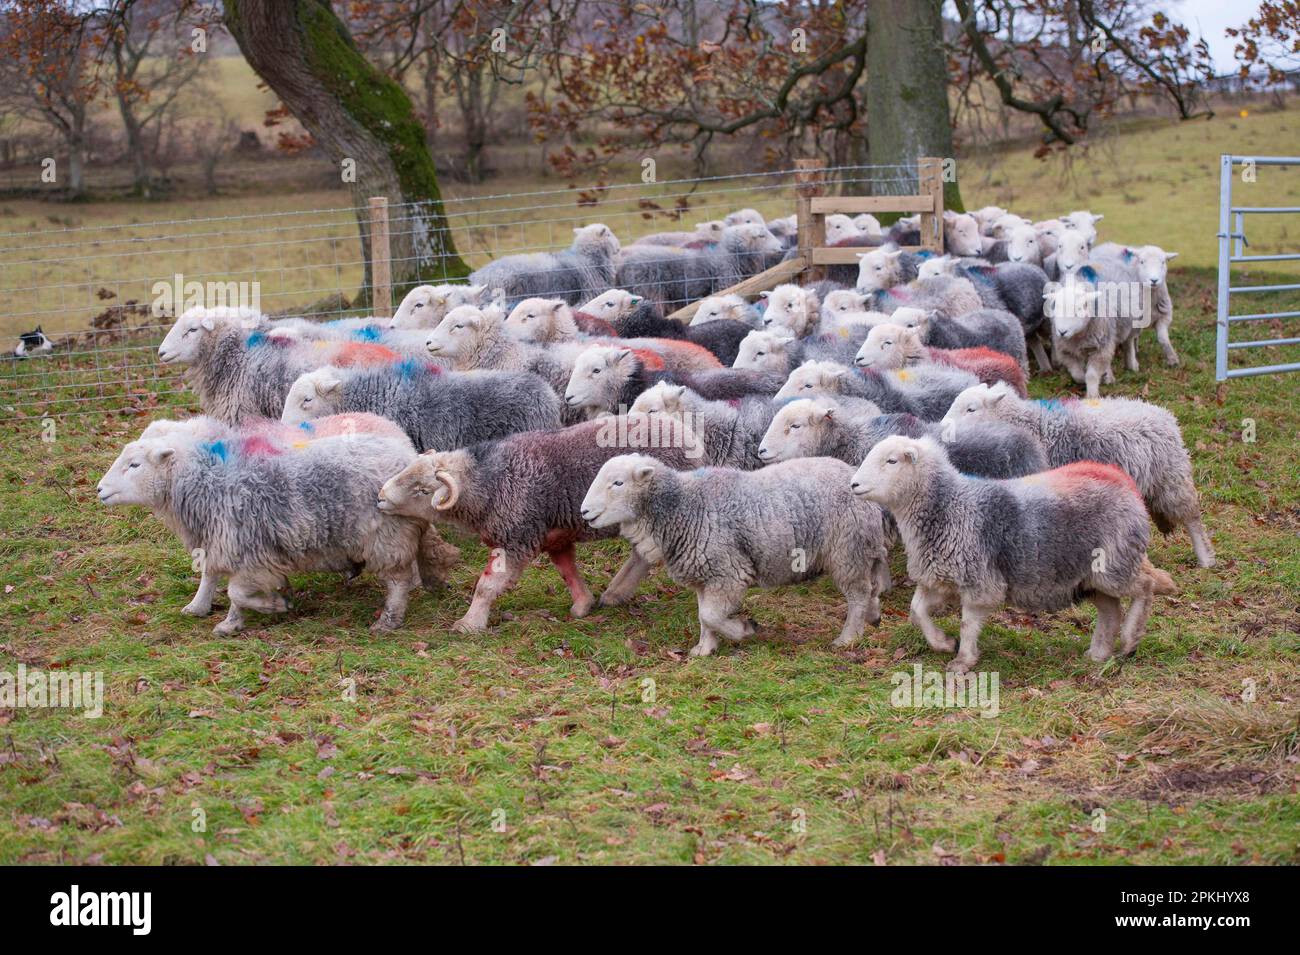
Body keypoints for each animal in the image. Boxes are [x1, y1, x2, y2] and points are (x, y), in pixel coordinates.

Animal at [97, 426, 442, 635]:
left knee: (397, 580)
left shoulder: (250, 549)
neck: (207, 479)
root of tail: (409, 456)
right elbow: (214, 577)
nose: (99, 489)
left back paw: (389, 619)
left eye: (134, 465)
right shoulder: (221, 539)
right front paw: (211, 613)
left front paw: (274, 605)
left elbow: (236, 591)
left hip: (387, 534)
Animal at [376, 413, 706, 630]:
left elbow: (486, 585)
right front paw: (583, 604)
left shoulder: (515, 538)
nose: (380, 497)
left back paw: (617, 592)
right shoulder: (553, 535)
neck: (490, 483)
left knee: (646, 555)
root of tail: (686, 435)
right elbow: (567, 570)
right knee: (642, 554)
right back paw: (614, 594)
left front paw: (469, 624)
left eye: (423, 490)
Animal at [580, 454, 890, 656]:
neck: (683, 506)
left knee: (858, 594)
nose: (584, 511)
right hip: (862, 548)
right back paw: (873, 617)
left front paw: (744, 630)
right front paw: (704, 648)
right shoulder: (705, 574)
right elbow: (704, 615)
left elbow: (710, 615)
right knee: (872, 586)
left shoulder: (728, 572)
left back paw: (848, 638)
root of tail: (855, 476)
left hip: (847, 550)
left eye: (618, 483)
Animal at [850, 435, 1176, 671]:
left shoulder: (979, 580)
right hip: (1090, 576)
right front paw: (943, 643)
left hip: (1113, 563)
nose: (853, 484)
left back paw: (1131, 639)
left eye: (891, 460)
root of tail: (1119, 477)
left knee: (1146, 586)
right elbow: (917, 612)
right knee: (1111, 611)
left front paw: (963, 660)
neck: (950, 507)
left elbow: (968, 623)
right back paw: (1098, 654)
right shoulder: (940, 577)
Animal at [942, 382, 1215, 567]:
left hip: (1172, 476)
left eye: (971, 409)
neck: (1033, 427)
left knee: (1192, 516)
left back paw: (1205, 558)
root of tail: (1164, 415)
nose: (942, 428)